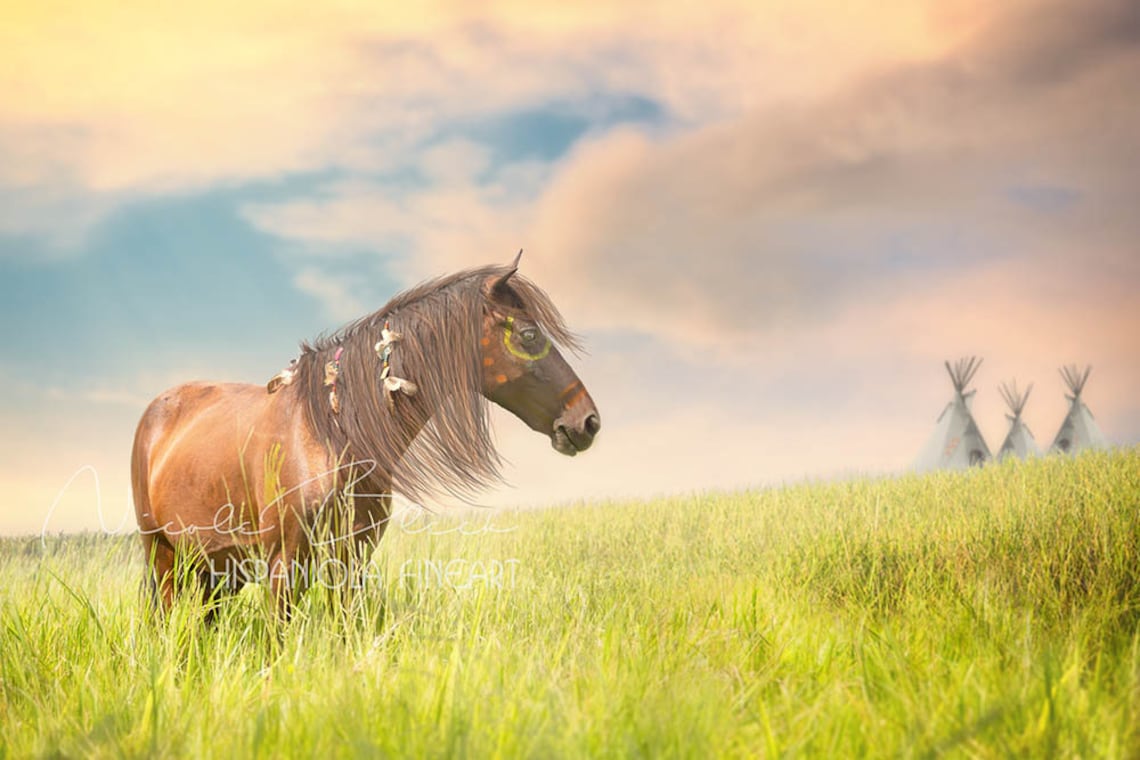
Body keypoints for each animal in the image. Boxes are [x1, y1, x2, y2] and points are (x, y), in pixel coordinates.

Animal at [131, 255, 600, 612]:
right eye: (528, 334)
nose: (587, 421)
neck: (331, 436)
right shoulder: (284, 563)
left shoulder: (352, 559)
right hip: (163, 555)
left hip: (215, 567)